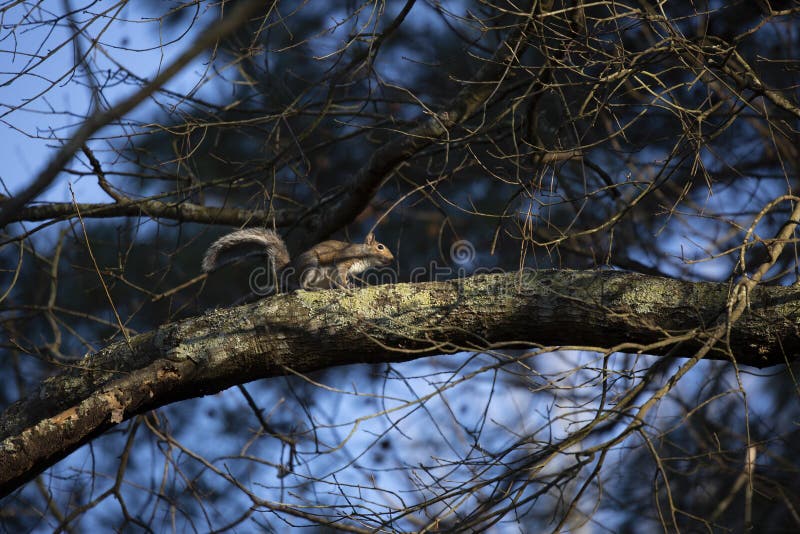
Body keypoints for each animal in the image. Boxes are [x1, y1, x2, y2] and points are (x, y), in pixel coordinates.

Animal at [201, 228, 394, 290]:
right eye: (380, 247)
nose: (392, 259)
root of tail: (290, 269)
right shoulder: (343, 260)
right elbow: (340, 274)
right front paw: (347, 286)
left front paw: (351, 284)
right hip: (311, 265)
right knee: (302, 285)